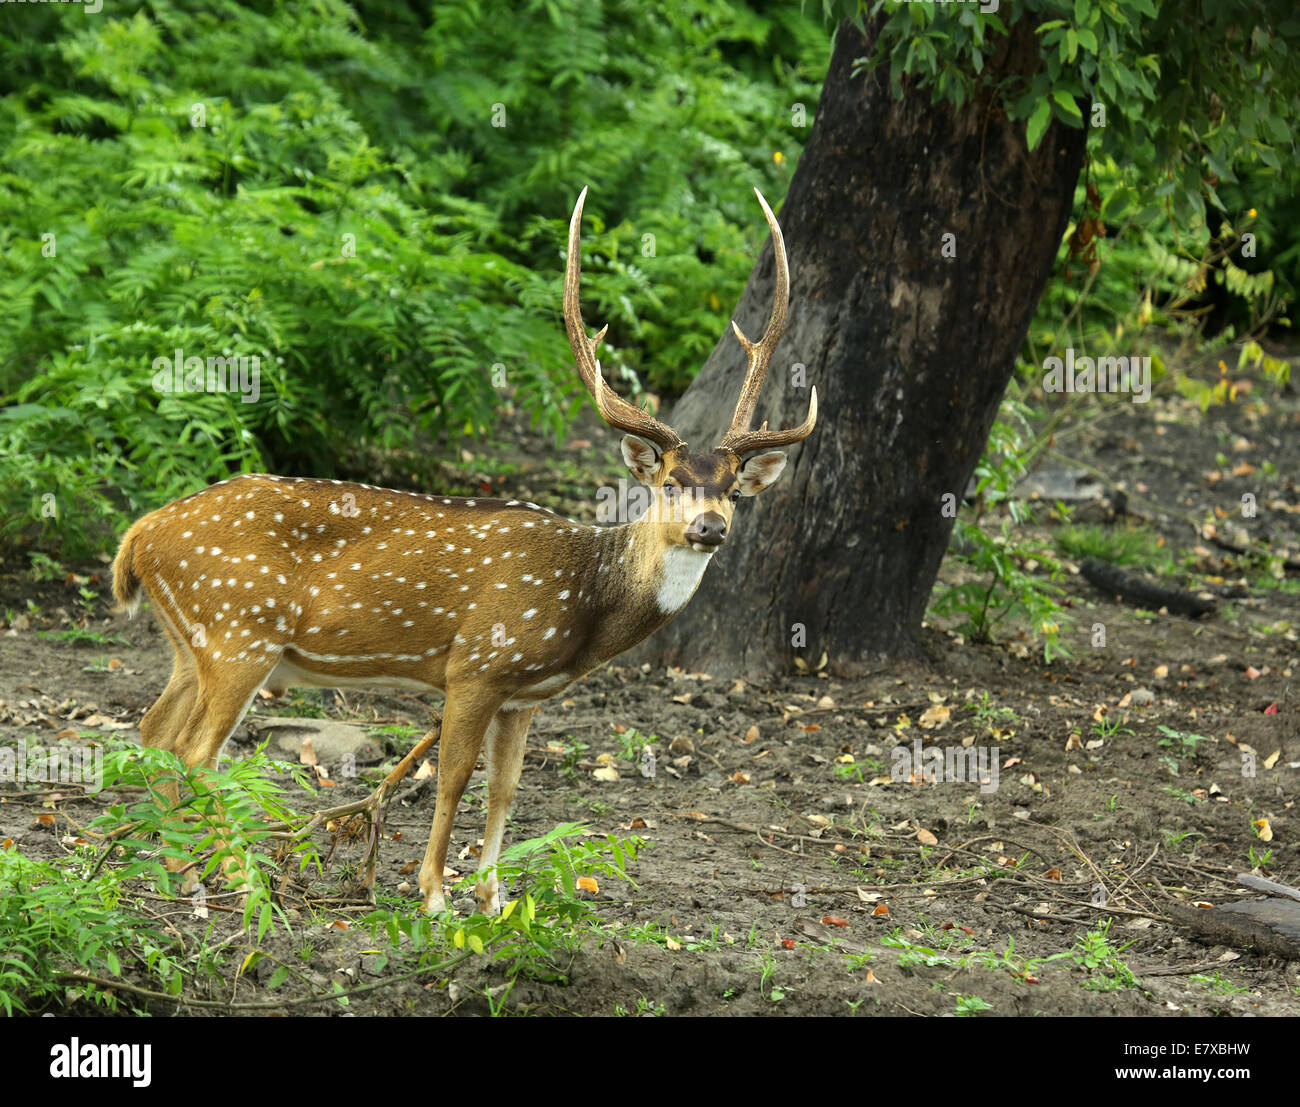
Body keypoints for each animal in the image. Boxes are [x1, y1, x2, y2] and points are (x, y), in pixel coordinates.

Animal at [111, 186, 817, 915]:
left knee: (155, 732)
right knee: (198, 750)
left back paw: (181, 873)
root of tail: (140, 535)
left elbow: (506, 787)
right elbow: (451, 778)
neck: (584, 605)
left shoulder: (525, 694)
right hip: (240, 631)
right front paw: (434, 897)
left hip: (192, 640)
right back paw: (234, 878)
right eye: (672, 482)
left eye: (733, 490)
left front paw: (493, 900)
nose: (710, 526)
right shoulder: (477, 663)